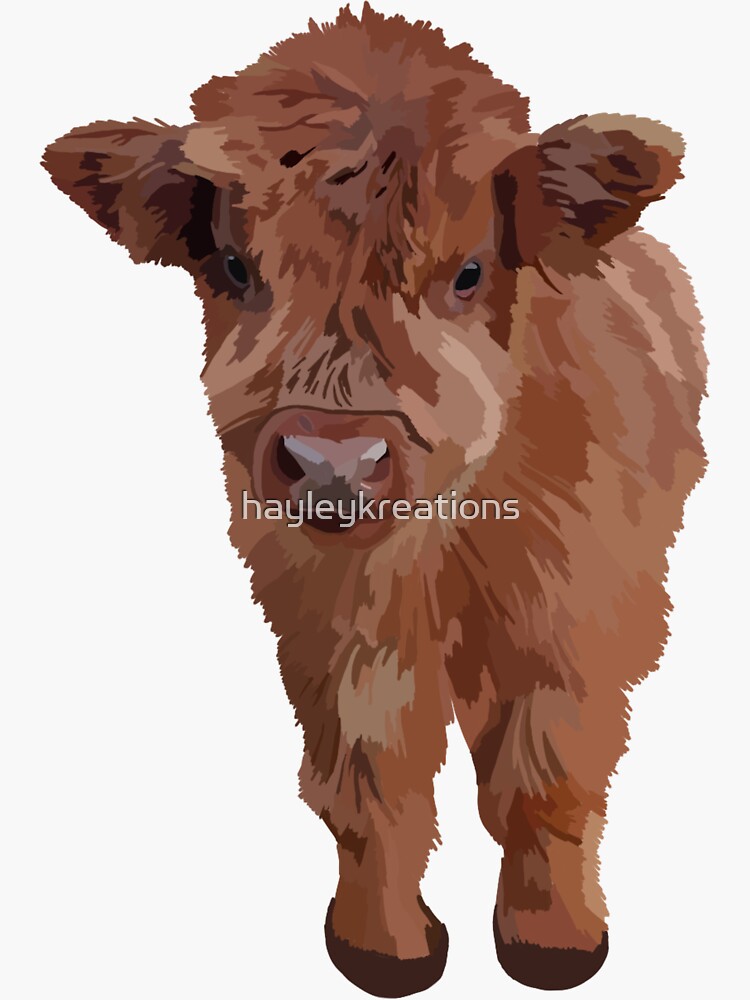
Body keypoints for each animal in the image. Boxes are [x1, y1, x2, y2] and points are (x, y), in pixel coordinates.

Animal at [43, 4, 706, 995]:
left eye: (468, 272)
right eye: (234, 265)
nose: (335, 462)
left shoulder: (578, 617)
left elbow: (546, 780)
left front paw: (555, 943)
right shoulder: (330, 622)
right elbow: (370, 783)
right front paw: (384, 950)